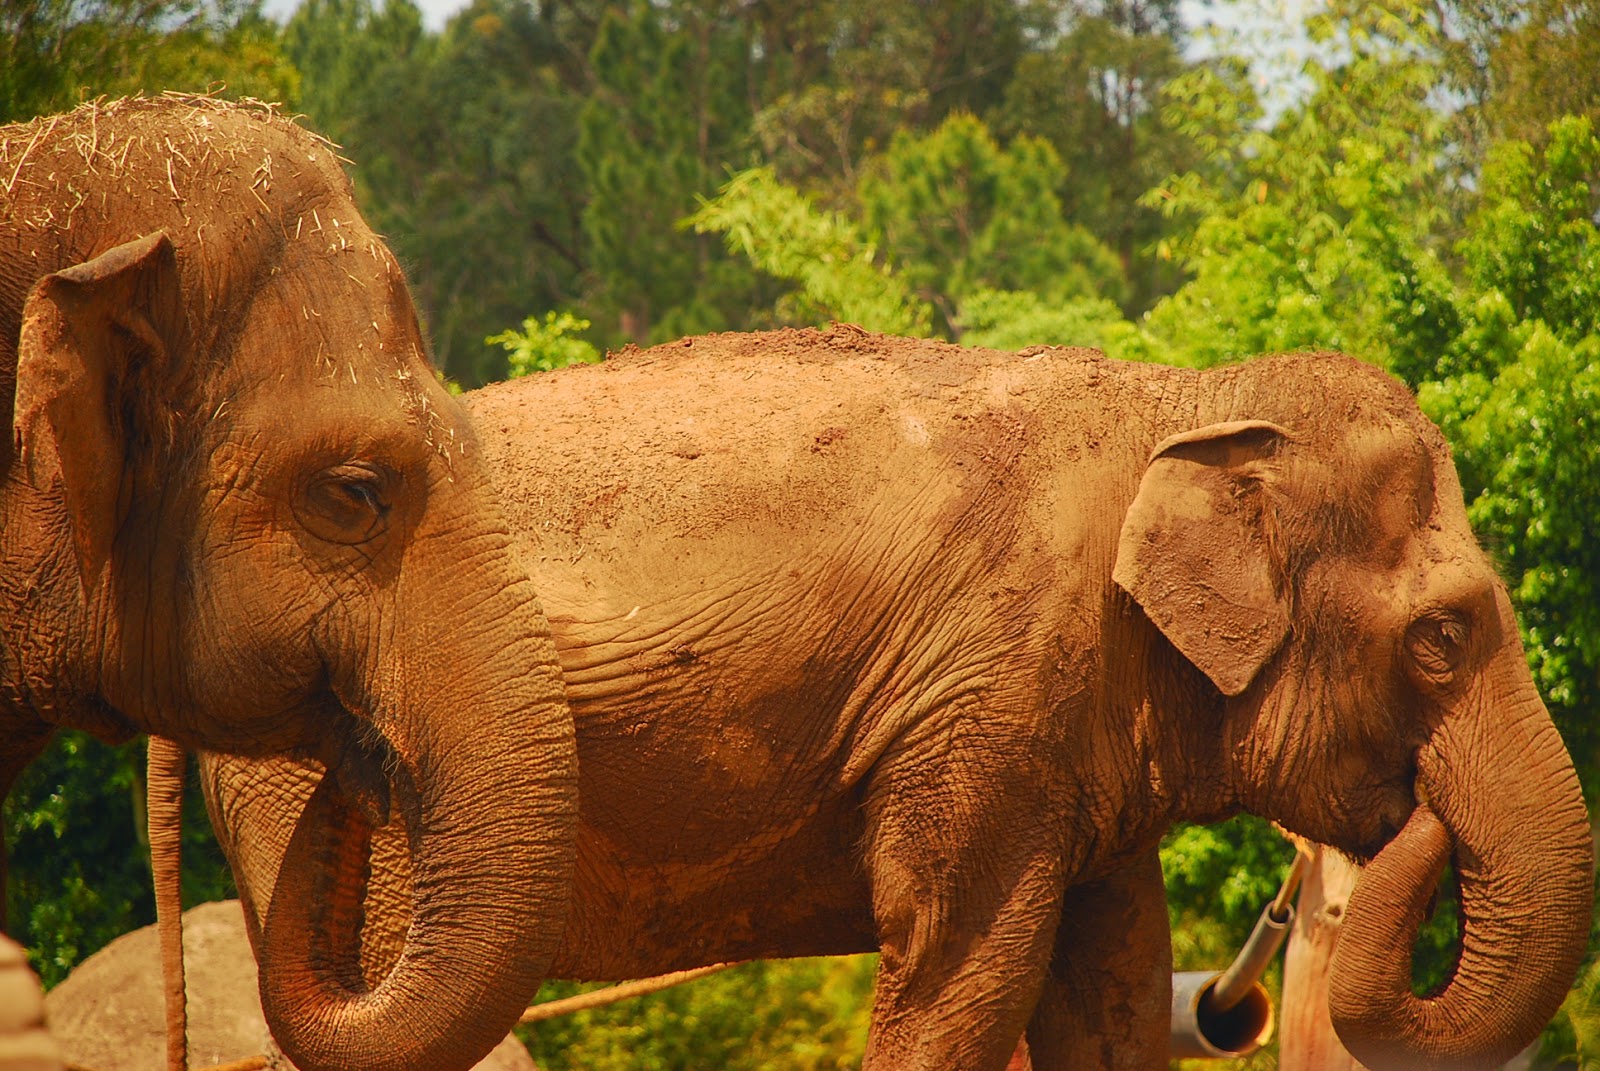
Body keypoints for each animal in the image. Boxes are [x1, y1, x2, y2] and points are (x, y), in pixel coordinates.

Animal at [202, 326, 1593, 1071]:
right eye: (1442, 637)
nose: (1420, 820)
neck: (1184, 396)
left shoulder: (1073, 733)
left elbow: (1116, 985)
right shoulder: (987, 694)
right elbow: (962, 967)